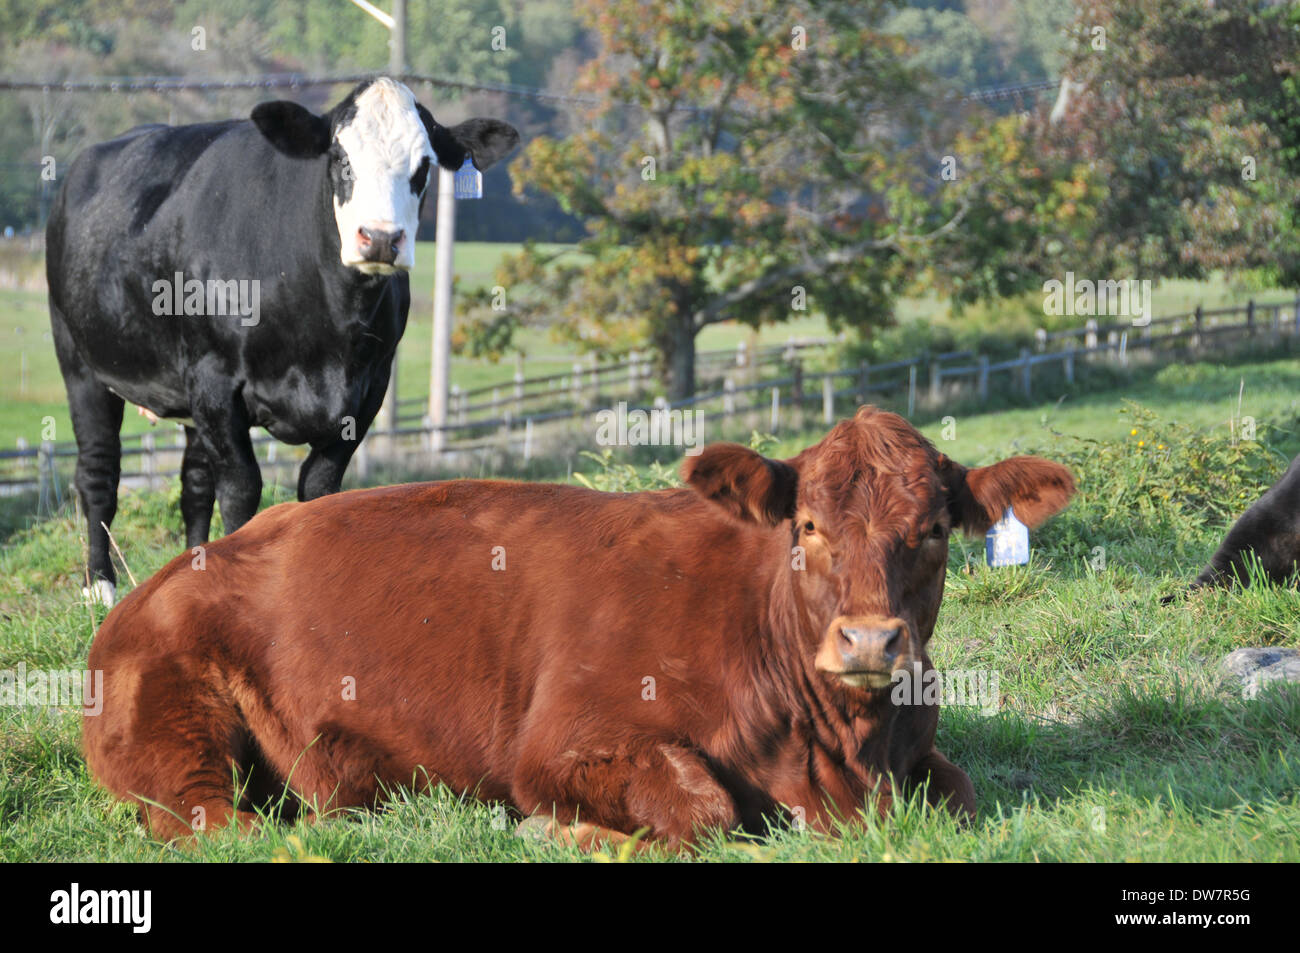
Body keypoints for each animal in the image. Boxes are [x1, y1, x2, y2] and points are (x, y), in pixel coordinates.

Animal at [46, 77, 519, 605]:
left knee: (194, 484)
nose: (380, 238)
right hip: (80, 362)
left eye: (423, 168)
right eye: (341, 158)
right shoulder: (216, 380)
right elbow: (241, 491)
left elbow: (319, 488)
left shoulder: (367, 390)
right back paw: (100, 586)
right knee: (98, 473)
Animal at [82, 407, 1075, 849]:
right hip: (181, 741)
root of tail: (159, 578)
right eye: (807, 527)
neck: (836, 751)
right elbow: (703, 808)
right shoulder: (561, 741)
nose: (871, 643)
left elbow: (962, 792)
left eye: (935, 529)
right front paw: (560, 832)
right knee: (232, 827)